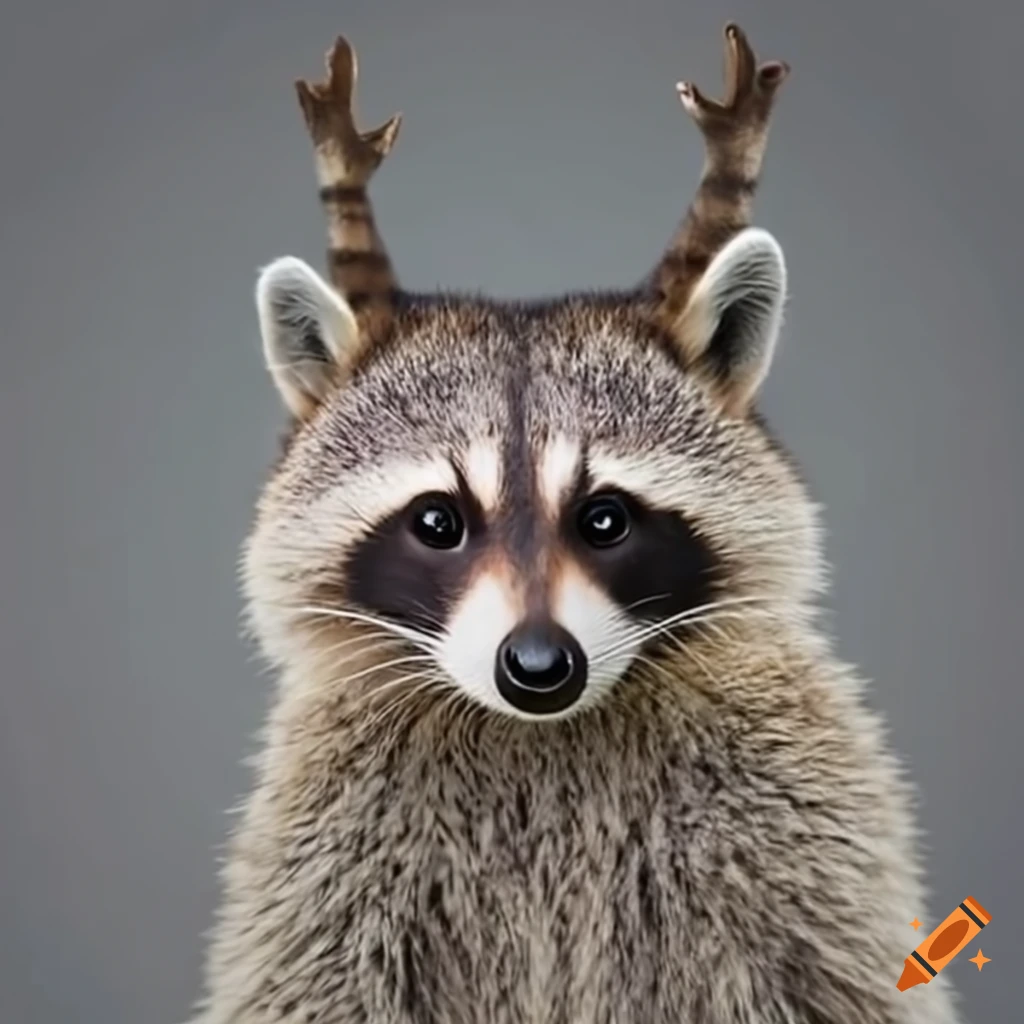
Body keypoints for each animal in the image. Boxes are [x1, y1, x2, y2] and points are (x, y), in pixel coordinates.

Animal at [190, 24, 961, 1024]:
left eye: (605, 519)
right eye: (437, 521)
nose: (538, 669)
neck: (539, 736)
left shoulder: (797, 825)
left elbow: (829, 971)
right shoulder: (327, 853)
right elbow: (311, 976)